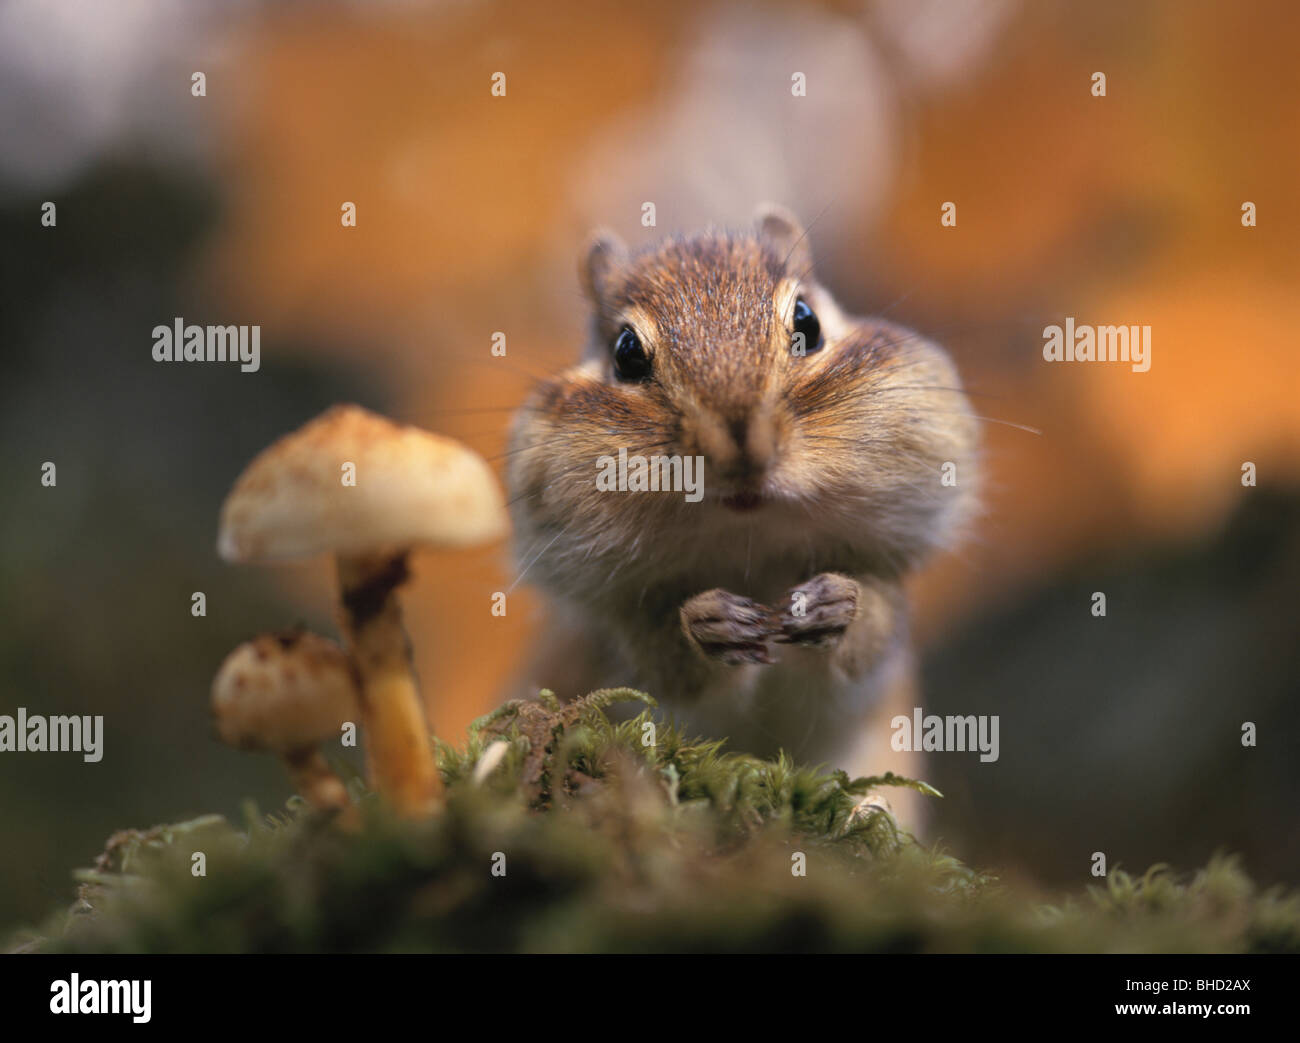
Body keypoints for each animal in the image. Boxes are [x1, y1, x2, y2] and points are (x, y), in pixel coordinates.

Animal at [506, 204, 979, 823]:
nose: (742, 449)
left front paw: (835, 603)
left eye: (807, 322)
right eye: (625, 352)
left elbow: (874, 632)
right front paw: (708, 622)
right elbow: (666, 663)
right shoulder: (620, 637)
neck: (755, 546)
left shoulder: (883, 628)